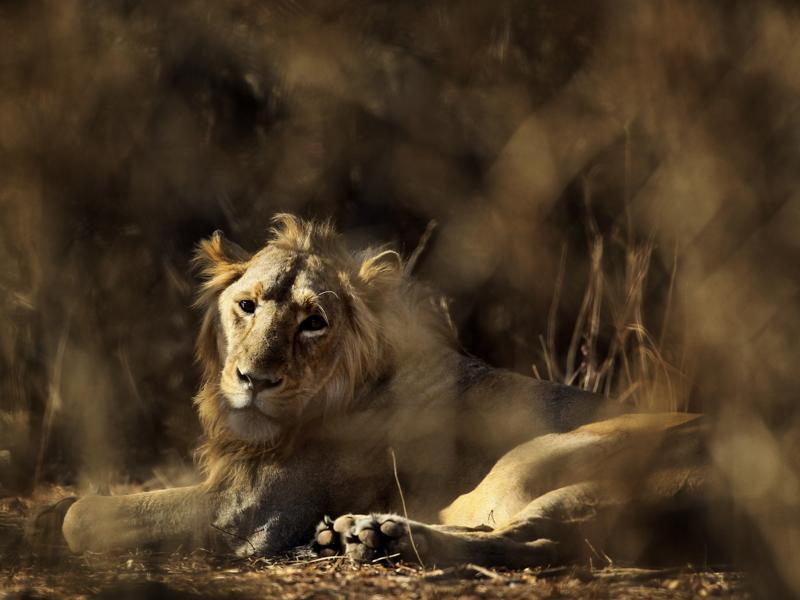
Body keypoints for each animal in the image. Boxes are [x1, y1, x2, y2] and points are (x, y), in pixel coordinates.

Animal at [50, 214, 712, 567]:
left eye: (314, 322)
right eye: (247, 305)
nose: (254, 381)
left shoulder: (250, 514)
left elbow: (84, 516)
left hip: (534, 463)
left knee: (524, 536)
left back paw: (376, 533)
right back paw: (357, 534)